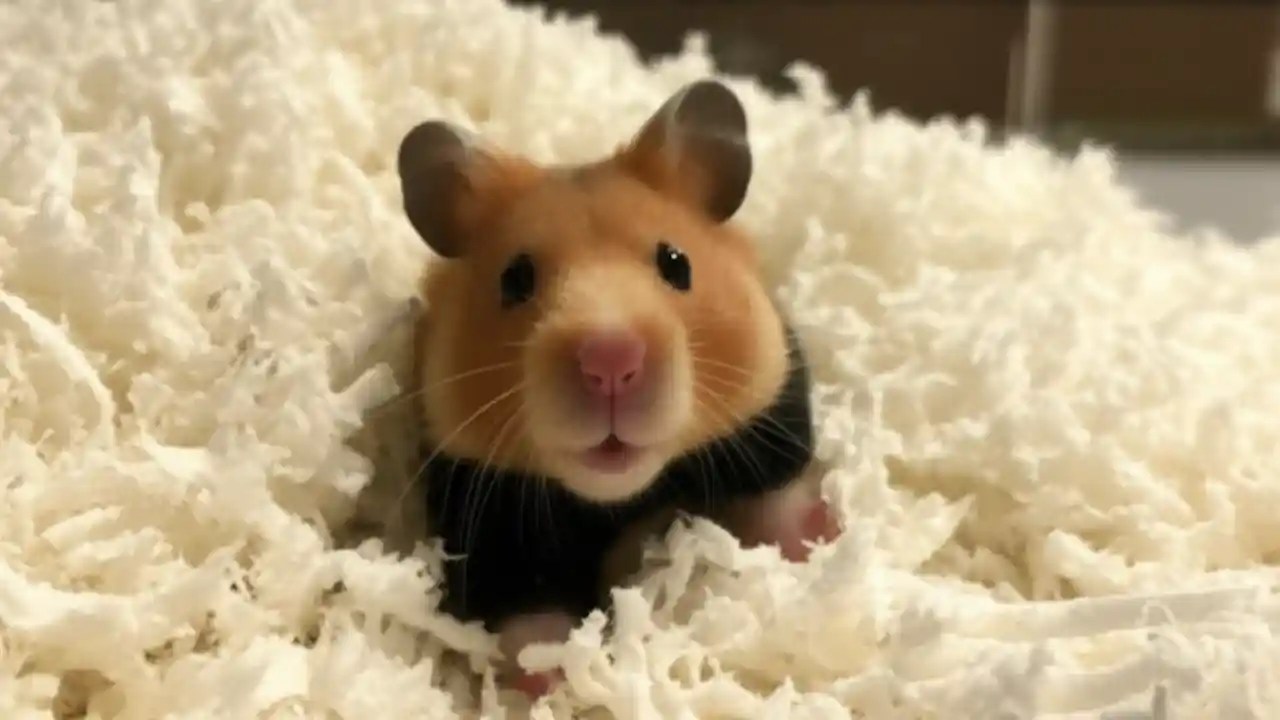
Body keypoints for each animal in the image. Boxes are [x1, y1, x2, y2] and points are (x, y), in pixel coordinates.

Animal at [396, 80, 841, 698]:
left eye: (676, 263)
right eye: (515, 279)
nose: (610, 360)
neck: (623, 497)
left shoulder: (770, 417)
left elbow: (781, 499)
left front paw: (818, 541)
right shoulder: (489, 521)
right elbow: (529, 622)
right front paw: (557, 680)